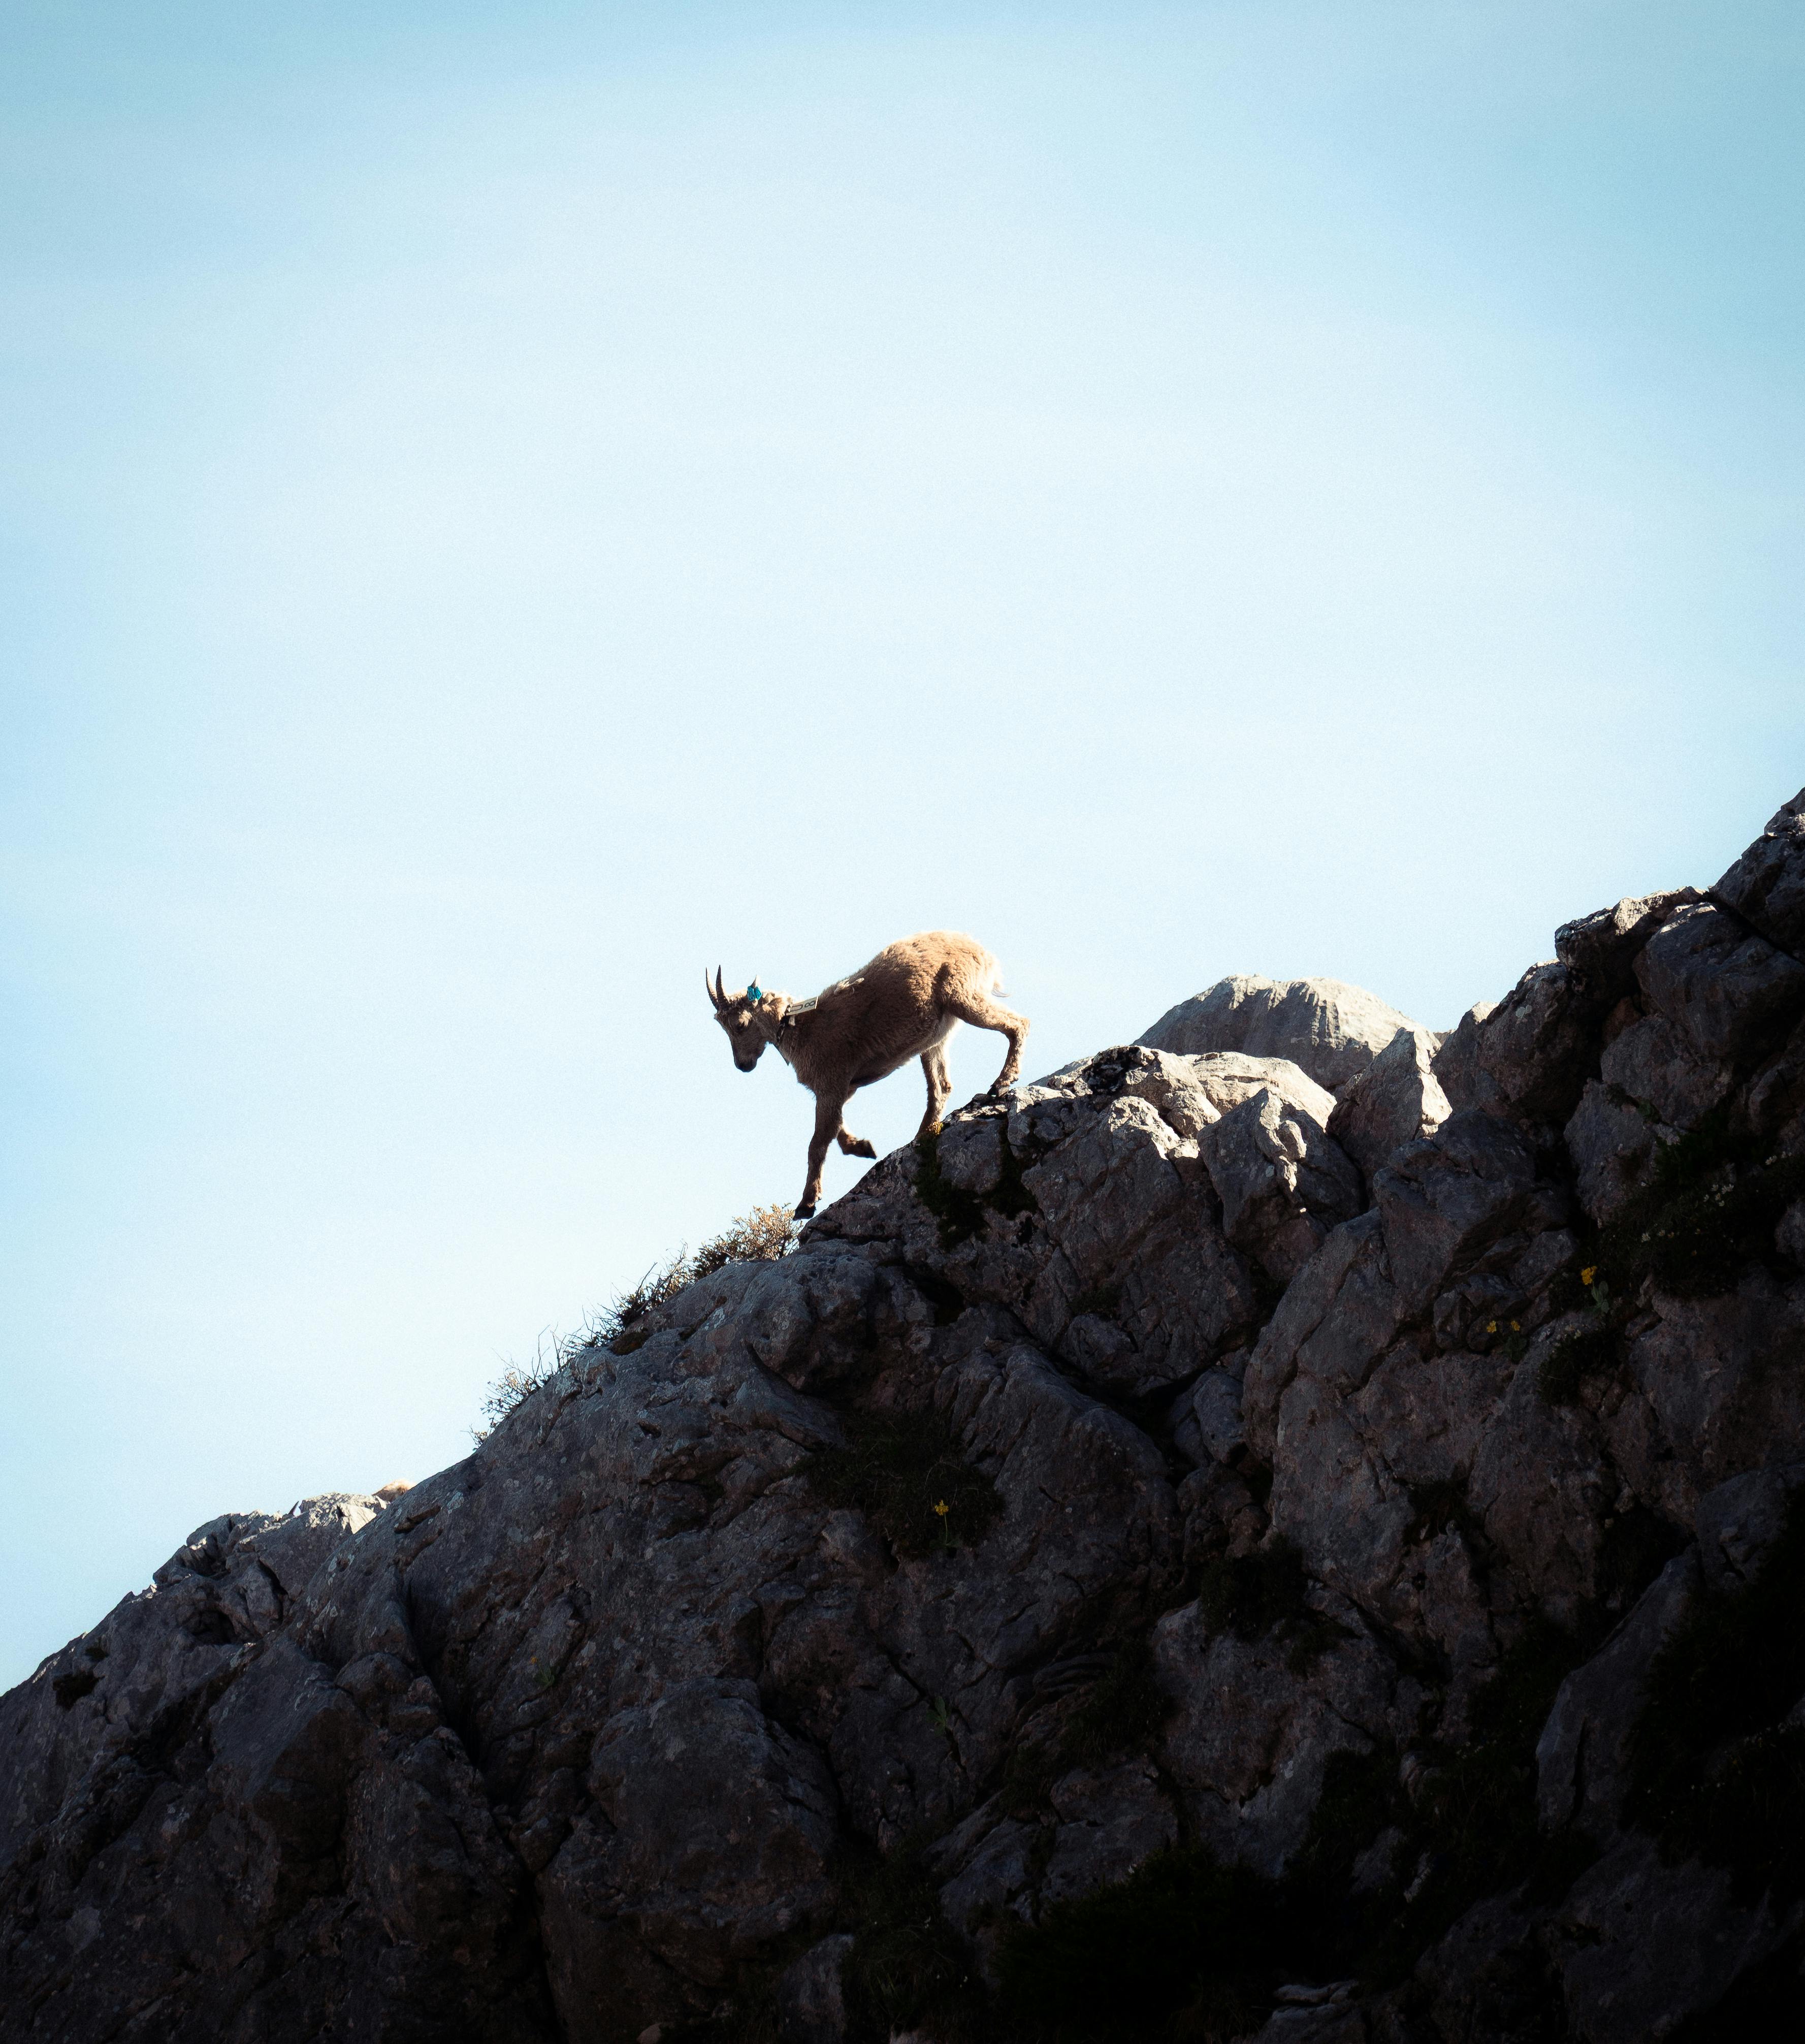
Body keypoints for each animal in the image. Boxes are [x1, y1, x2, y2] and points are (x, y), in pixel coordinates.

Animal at [706, 931, 1030, 1218]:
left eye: (740, 1025)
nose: (743, 1065)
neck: (800, 1028)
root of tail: (983, 952)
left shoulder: (832, 1083)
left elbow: (817, 1143)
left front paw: (806, 1205)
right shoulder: (843, 1087)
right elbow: (836, 1130)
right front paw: (864, 1148)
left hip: (962, 996)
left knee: (1019, 1024)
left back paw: (1002, 1083)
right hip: (937, 1036)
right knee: (941, 1086)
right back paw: (922, 1135)